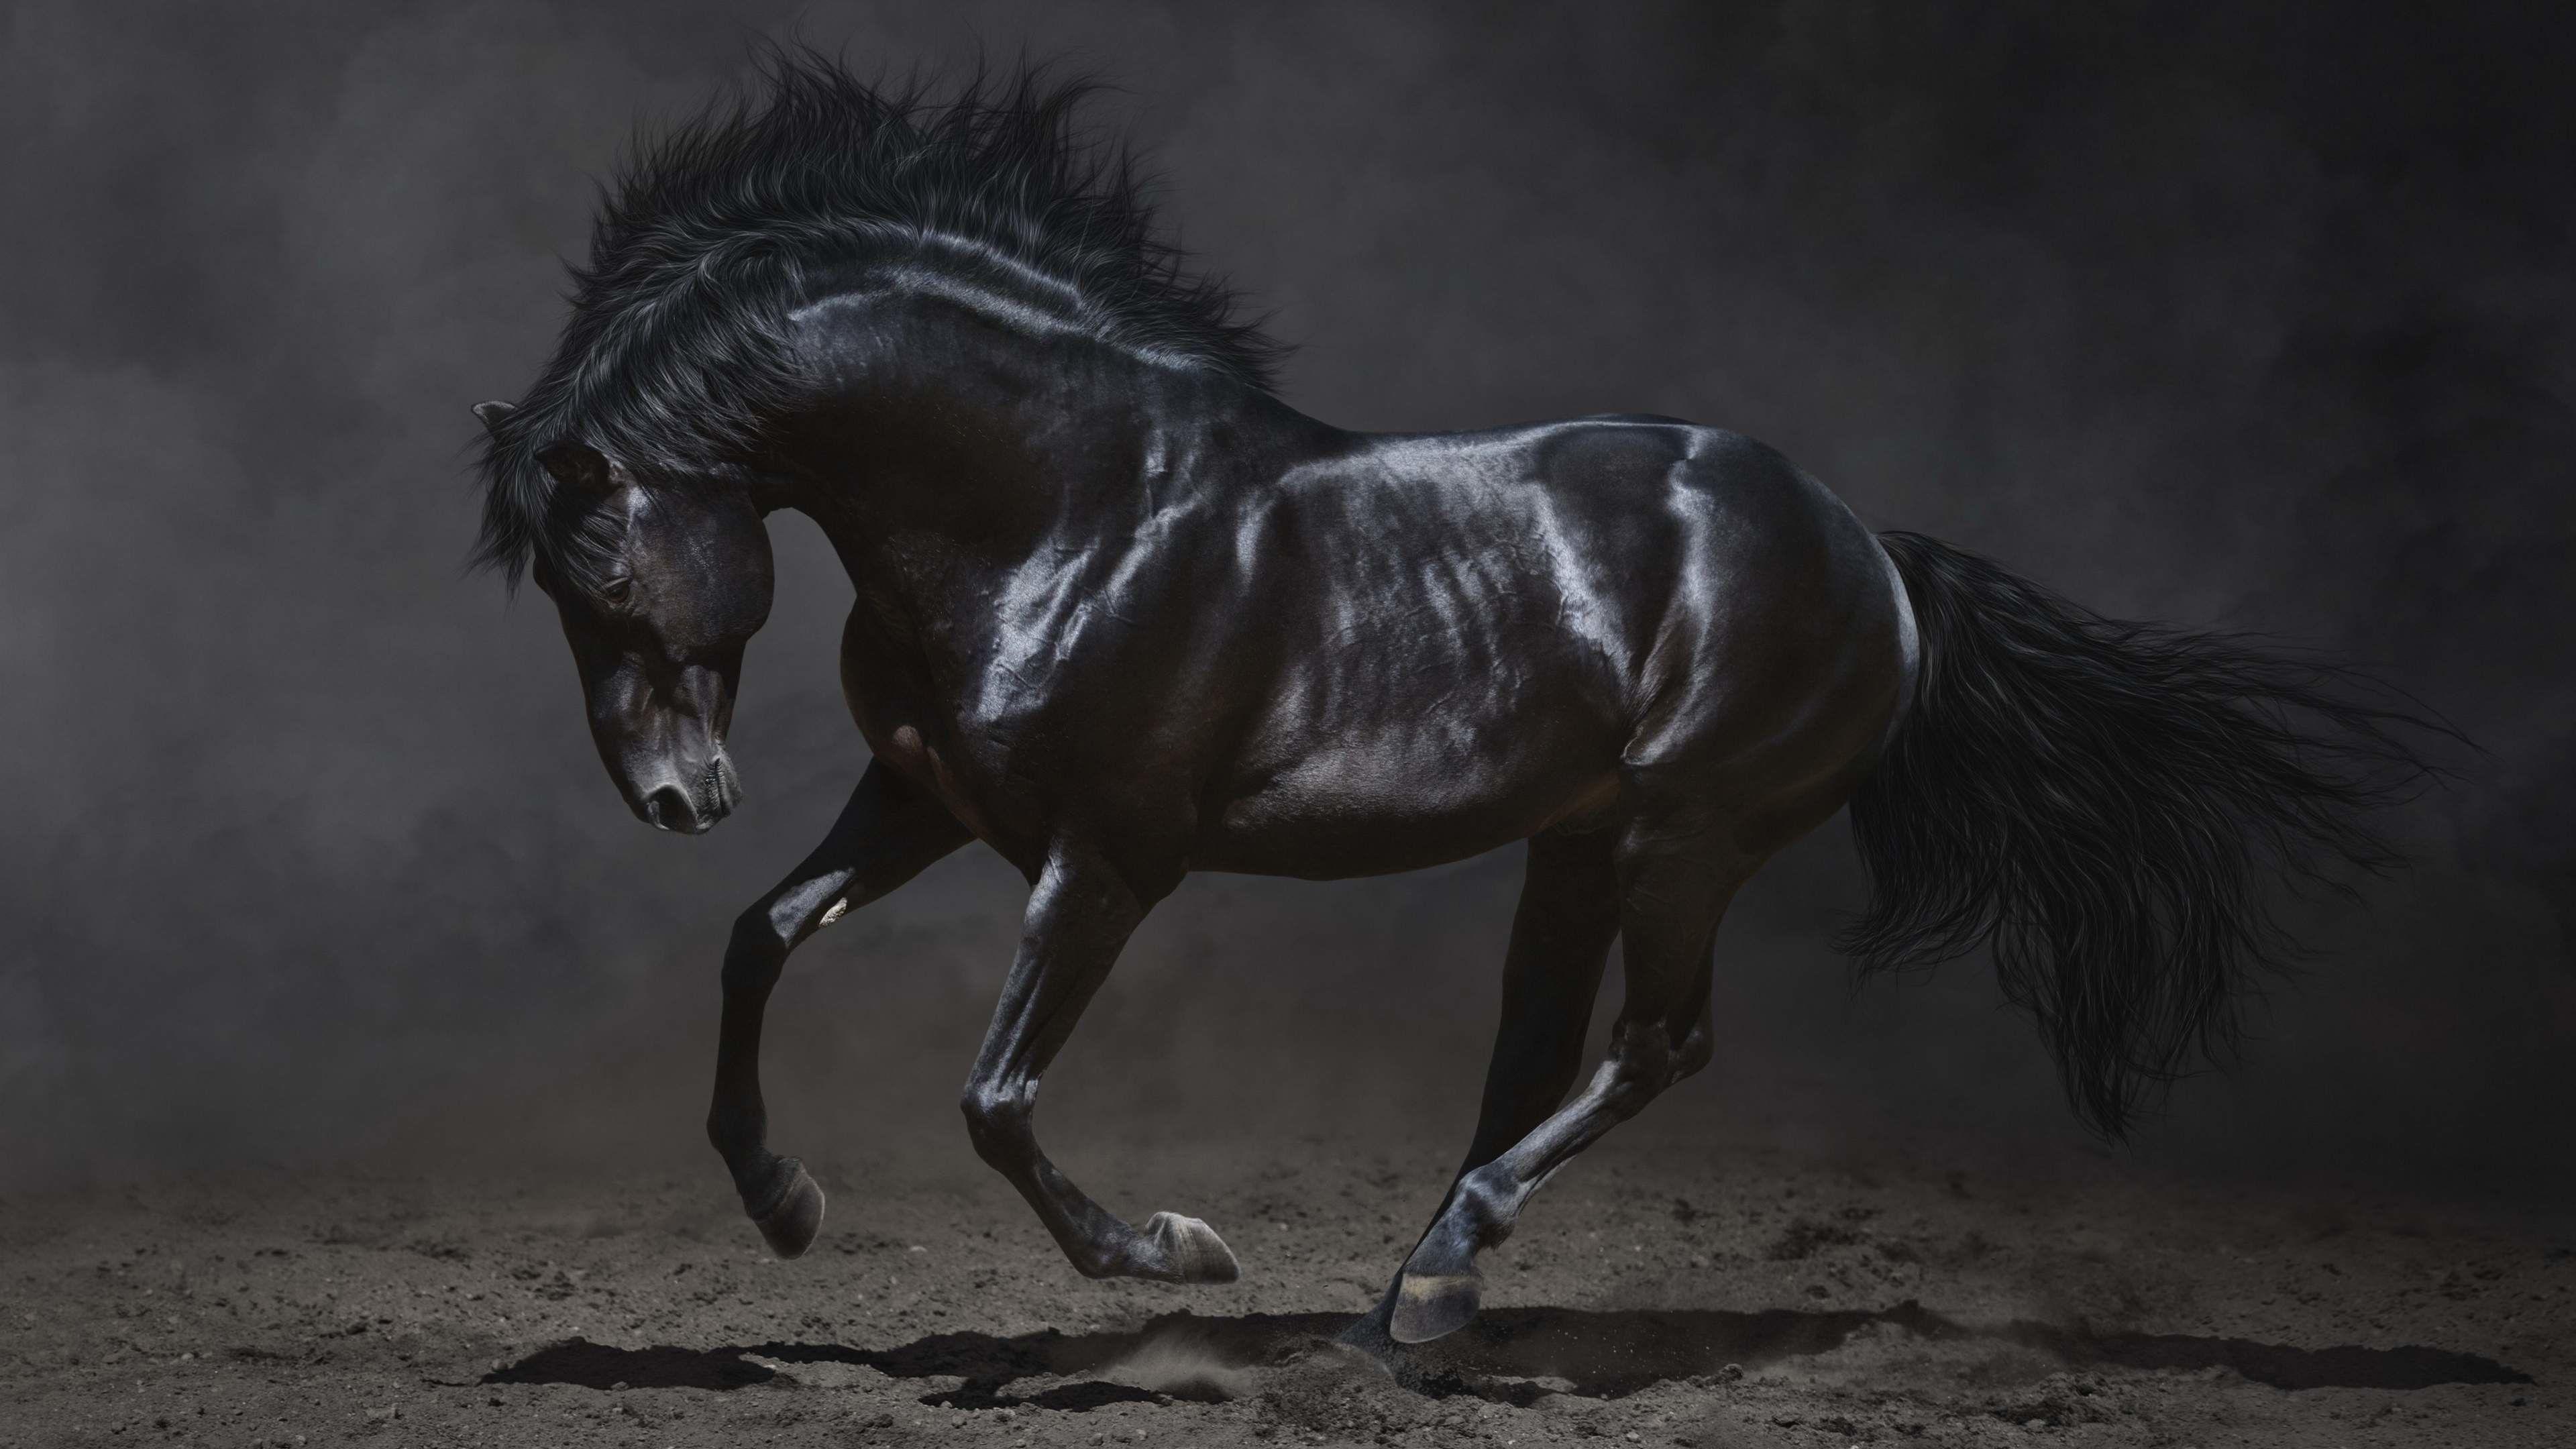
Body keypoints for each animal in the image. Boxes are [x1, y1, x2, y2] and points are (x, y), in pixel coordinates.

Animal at [469, 54, 2440, 1352]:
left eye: (601, 572)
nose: (675, 795)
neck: (1070, 506)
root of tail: (1871, 551)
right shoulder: (927, 800)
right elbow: (759, 938)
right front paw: (782, 1202)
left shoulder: (1106, 858)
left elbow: (996, 1097)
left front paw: (1177, 1255)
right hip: (1578, 843)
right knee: (1535, 1055)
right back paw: (1413, 1299)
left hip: (1688, 834)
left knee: (1656, 1045)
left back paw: (1432, 1278)